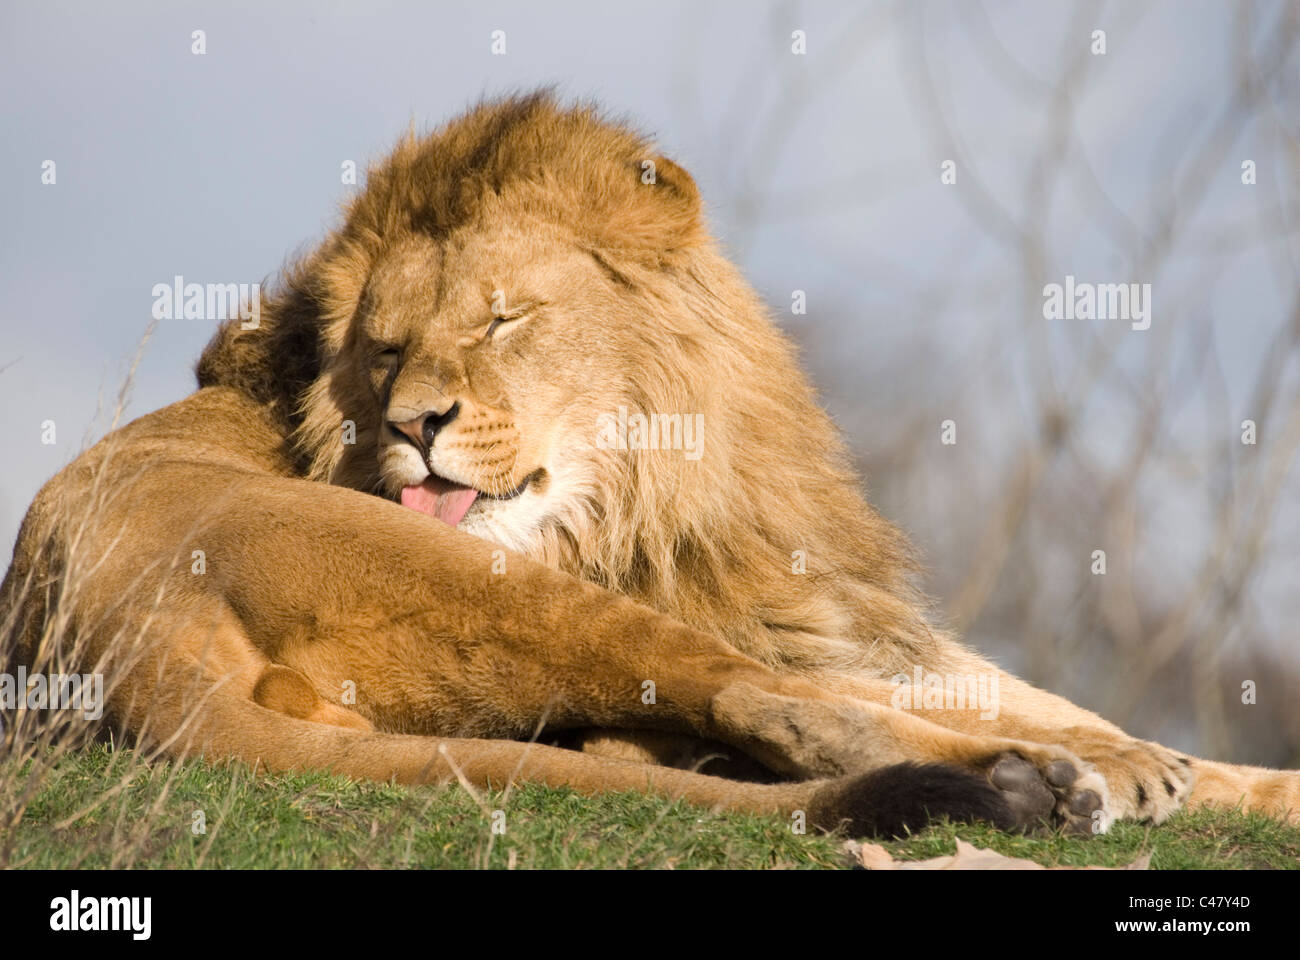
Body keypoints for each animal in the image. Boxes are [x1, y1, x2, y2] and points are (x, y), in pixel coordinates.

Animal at [3, 91, 1297, 839]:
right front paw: (1135, 763)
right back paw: (1055, 784)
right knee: (765, 704)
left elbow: (1029, 692)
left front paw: (1240, 782)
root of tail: (116, 639)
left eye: (503, 320)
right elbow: (930, 698)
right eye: (386, 349)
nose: (415, 422)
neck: (660, 491)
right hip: (477, 585)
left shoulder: (836, 615)